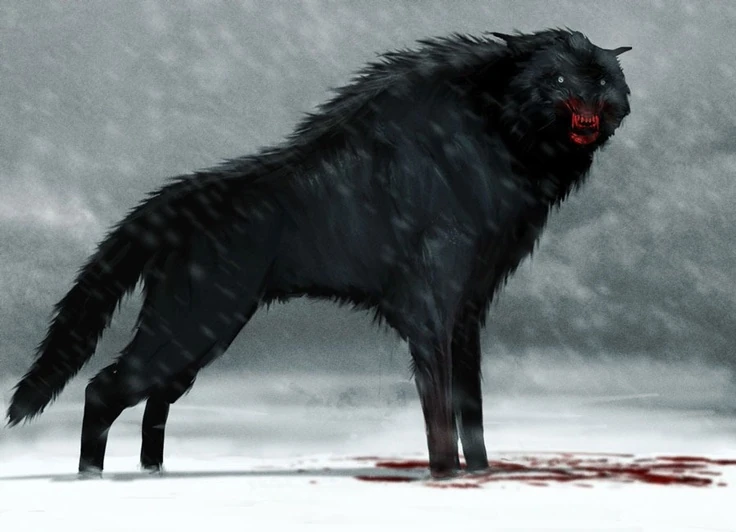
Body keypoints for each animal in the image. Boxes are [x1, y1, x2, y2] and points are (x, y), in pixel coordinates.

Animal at [7, 29, 631, 478]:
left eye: (601, 78)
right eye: (555, 77)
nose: (588, 107)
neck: (496, 138)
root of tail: (166, 200)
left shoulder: (468, 313)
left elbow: (471, 405)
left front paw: (479, 475)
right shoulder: (430, 313)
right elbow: (439, 409)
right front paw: (445, 477)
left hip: (201, 335)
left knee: (153, 401)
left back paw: (154, 475)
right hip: (195, 322)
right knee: (104, 388)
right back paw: (93, 480)